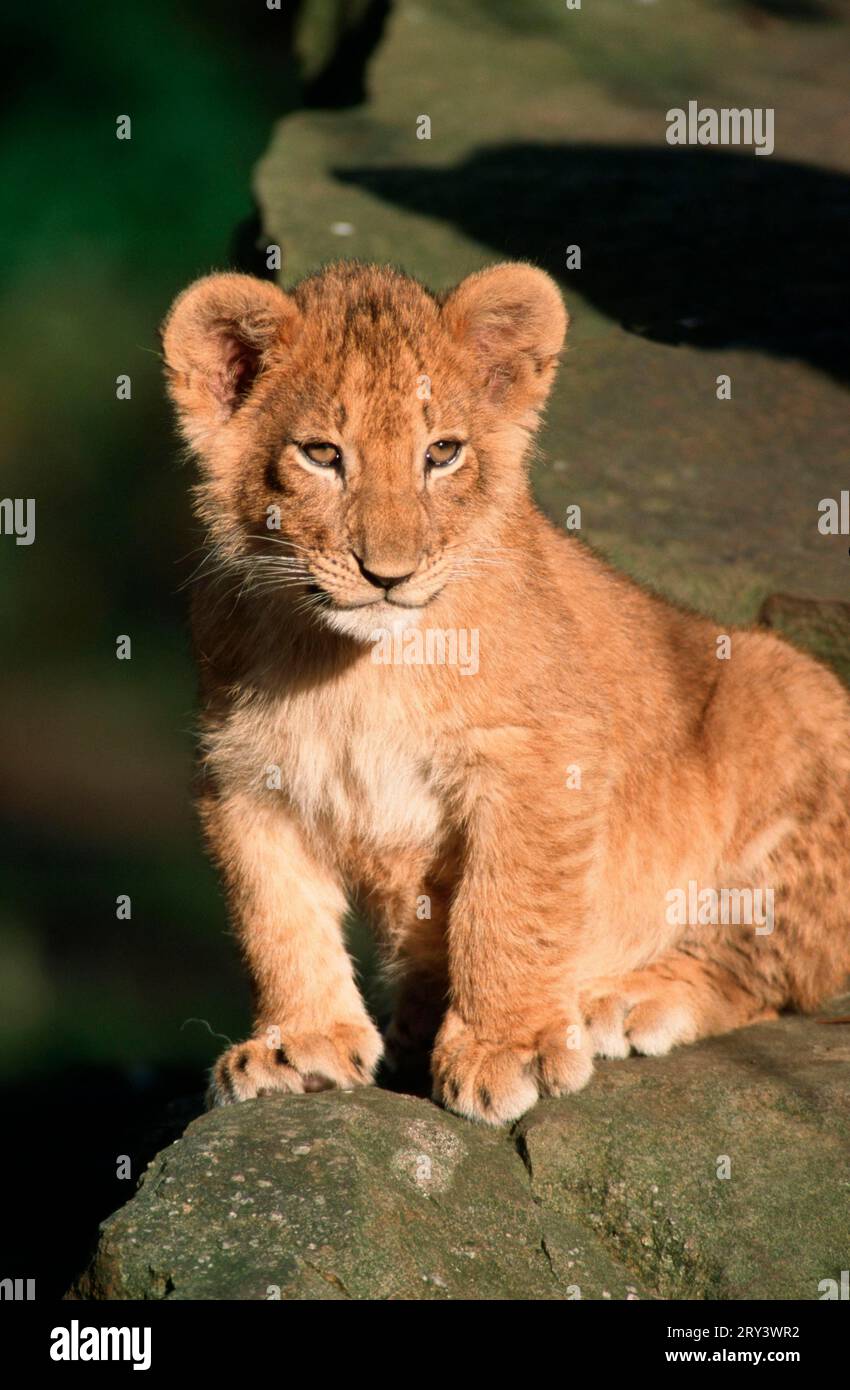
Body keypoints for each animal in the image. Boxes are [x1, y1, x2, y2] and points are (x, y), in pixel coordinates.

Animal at [162, 260, 850, 1125]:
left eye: (442, 453)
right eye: (321, 454)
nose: (388, 574)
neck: (354, 666)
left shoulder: (539, 757)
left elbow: (507, 906)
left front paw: (506, 1048)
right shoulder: (244, 777)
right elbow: (275, 916)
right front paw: (303, 1045)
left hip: (783, 691)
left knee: (774, 967)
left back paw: (624, 998)